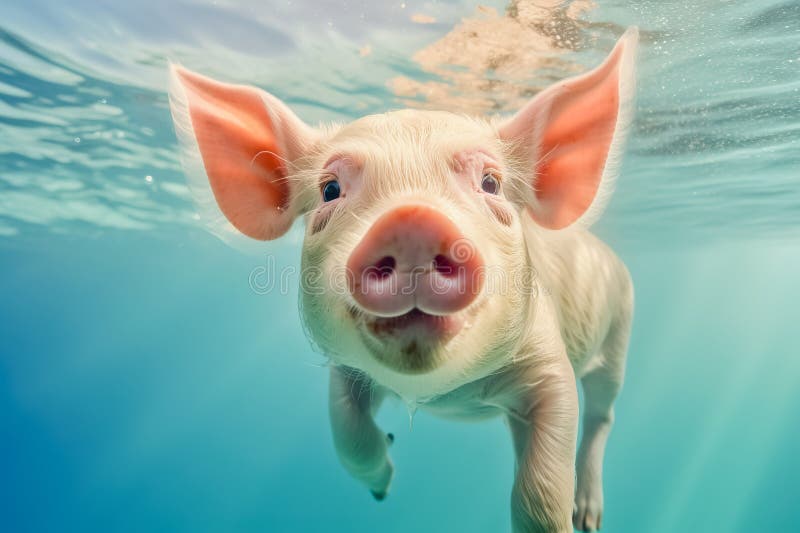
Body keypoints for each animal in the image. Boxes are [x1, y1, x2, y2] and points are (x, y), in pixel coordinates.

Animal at [168, 27, 637, 533]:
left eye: (490, 183)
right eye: (330, 189)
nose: (412, 220)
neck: (439, 393)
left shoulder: (548, 360)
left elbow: (542, 491)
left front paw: (566, 519)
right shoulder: (347, 370)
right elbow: (348, 435)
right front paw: (383, 484)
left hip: (619, 331)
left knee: (602, 414)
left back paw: (588, 516)